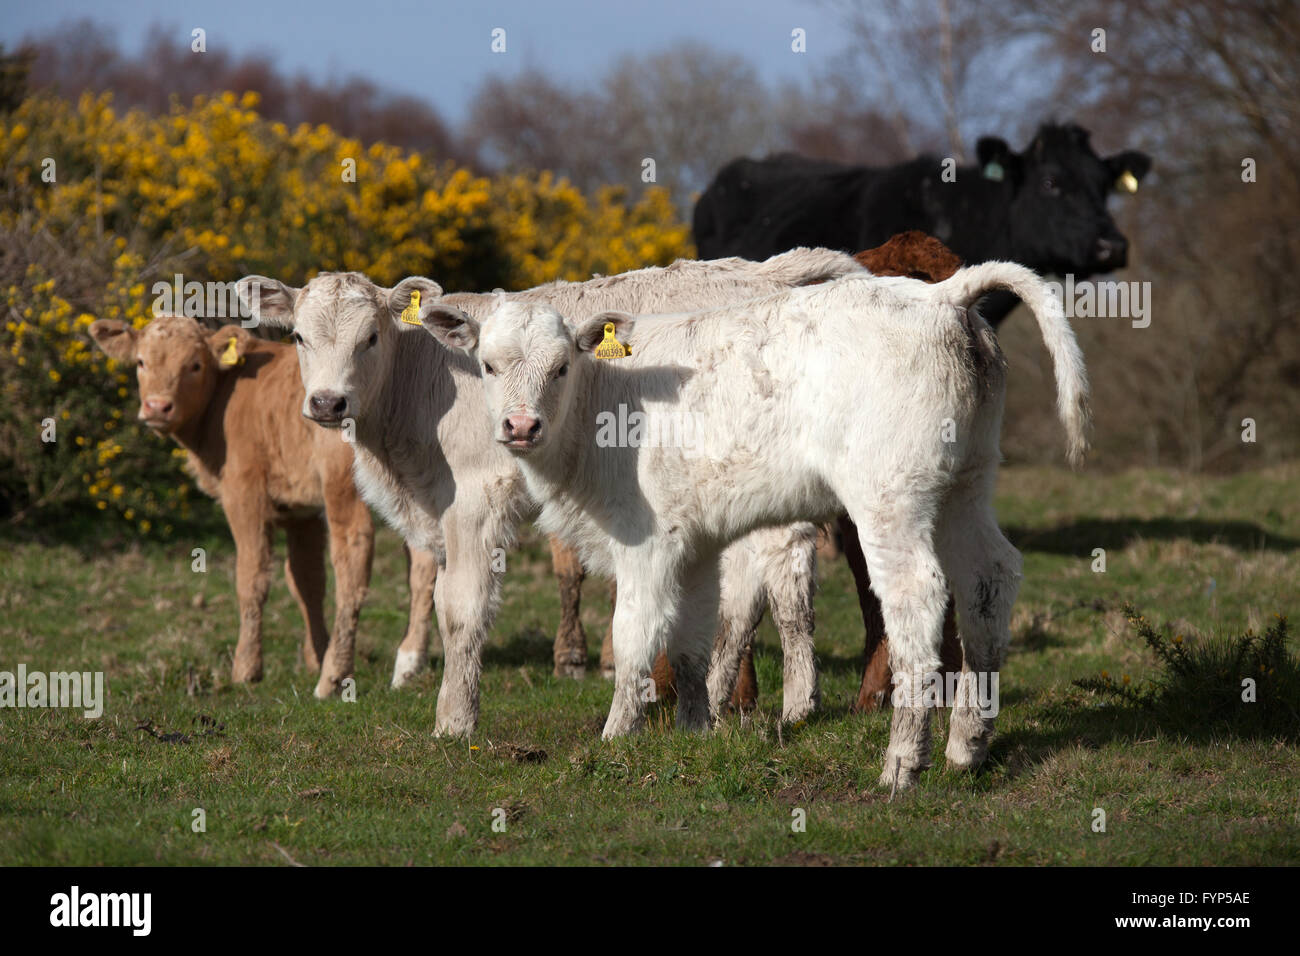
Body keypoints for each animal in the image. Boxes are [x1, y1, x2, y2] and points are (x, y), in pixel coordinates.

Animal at [88, 315, 435, 697]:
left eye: (194, 365)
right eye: (140, 362)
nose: (157, 407)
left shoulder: (244, 492)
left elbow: (251, 577)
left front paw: (247, 668)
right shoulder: (301, 512)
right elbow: (306, 580)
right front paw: (315, 655)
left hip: (342, 488)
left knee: (353, 560)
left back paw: (334, 676)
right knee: (423, 568)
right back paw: (407, 666)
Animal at [237, 248, 863, 735]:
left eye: (369, 337)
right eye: (298, 337)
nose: (327, 402)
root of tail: (765, 270)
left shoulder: (476, 498)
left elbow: (460, 608)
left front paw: (453, 722)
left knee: (769, 583)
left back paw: (771, 700)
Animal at [419, 260, 1089, 789]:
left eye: (561, 367)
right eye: (487, 365)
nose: (521, 426)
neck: (600, 404)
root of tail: (941, 296)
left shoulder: (647, 541)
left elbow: (635, 638)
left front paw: (616, 736)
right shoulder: (694, 544)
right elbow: (692, 640)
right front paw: (695, 730)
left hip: (890, 500)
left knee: (917, 601)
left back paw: (903, 761)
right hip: (966, 488)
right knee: (988, 581)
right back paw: (966, 746)